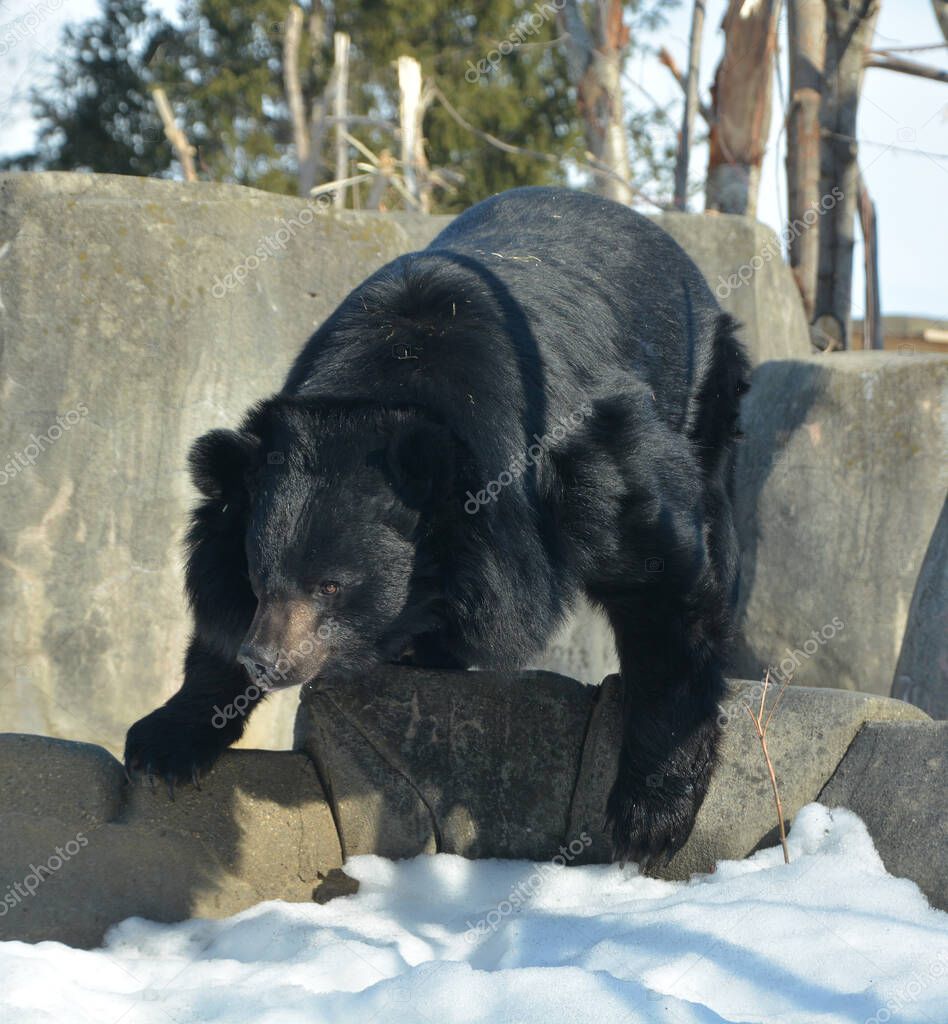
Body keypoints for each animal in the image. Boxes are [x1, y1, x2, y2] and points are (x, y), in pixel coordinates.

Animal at [125, 186, 749, 863]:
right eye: (259, 579)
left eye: (331, 586)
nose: (264, 661)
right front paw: (163, 744)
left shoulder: (582, 460)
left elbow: (661, 583)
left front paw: (648, 819)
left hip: (704, 385)